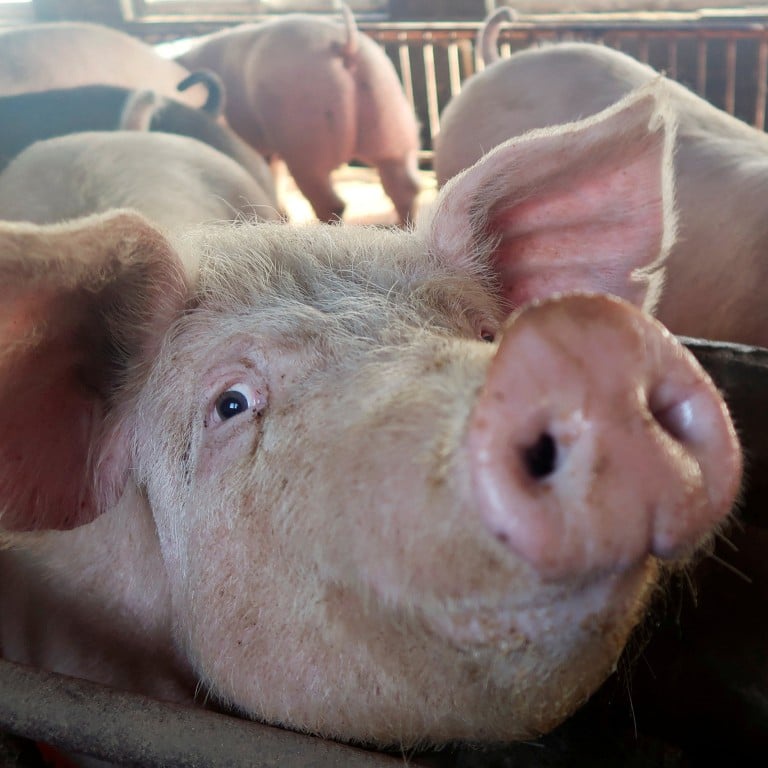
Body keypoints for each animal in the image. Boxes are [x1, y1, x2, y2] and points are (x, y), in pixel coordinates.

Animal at [176, 6, 421, 224]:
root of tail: (345, 43)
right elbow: (274, 175)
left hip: (305, 137)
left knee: (331, 203)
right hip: (390, 113)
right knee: (404, 186)